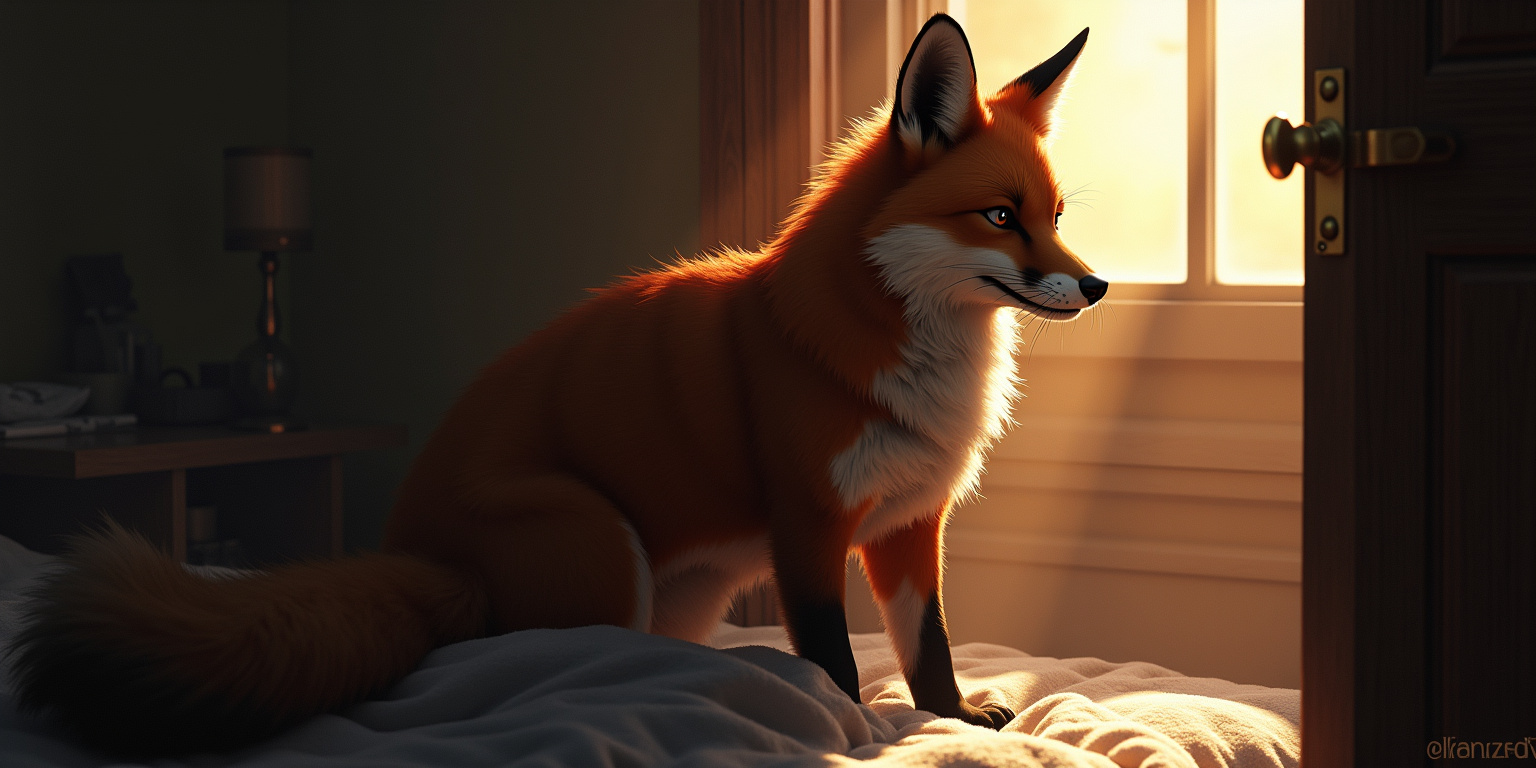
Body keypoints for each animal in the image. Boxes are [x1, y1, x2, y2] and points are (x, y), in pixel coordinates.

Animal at [8, 15, 1104, 755]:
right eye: (999, 217)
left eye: (1052, 215)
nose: (1096, 286)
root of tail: (420, 557)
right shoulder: (808, 523)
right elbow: (834, 659)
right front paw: (856, 726)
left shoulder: (908, 526)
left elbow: (929, 649)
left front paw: (951, 719)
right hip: (598, 540)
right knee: (554, 656)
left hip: (687, 591)